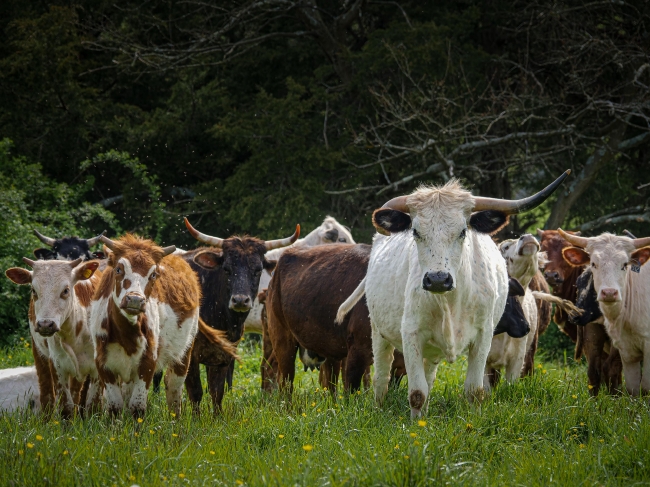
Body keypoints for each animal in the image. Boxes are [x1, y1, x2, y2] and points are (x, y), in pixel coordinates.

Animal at [5, 257, 103, 418]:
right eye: (34, 290)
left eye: (65, 290)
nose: (45, 324)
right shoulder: (57, 364)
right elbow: (65, 406)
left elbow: (94, 406)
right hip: (40, 353)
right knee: (47, 394)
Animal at [90, 234, 202, 417]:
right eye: (119, 269)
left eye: (153, 274)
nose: (135, 299)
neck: (125, 334)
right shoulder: (103, 363)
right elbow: (115, 406)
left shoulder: (148, 362)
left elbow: (137, 407)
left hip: (185, 349)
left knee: (174, 385)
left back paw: (175, 419)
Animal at [181, 218, 299, 413]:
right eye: (227, 269)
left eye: (258, 270)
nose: (240, 300)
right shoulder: (189, 357)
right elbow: (196, 393)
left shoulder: (224, 357)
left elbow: (217, 393)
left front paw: (217, 417)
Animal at [345, 171, 569, 418]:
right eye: (415, 231)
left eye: (462, 232)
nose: (437, 279)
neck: (450, 301)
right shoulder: (411, 333)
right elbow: (417, 393)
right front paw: (415, 423)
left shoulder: (484, 335)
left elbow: (474, 390)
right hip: (378, 331)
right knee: (382, 377)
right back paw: (379, 408)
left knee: (429, 377)